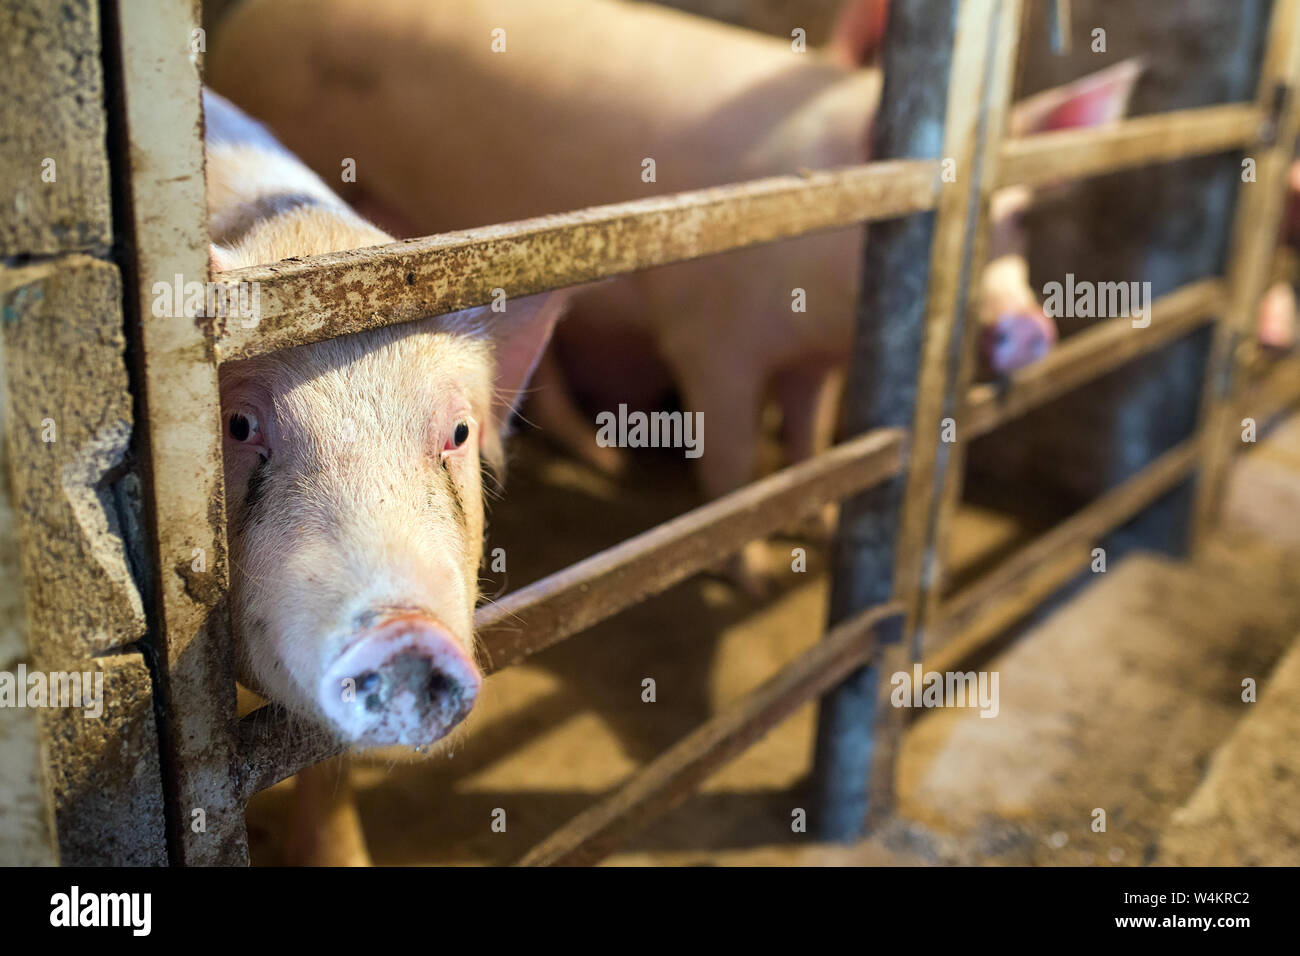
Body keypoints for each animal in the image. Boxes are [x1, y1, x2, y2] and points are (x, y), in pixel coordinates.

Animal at [207, 0, 1136, 585]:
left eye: (1019, 215)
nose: (1031, 328)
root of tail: (248, 19)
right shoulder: (714, 341)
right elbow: (731, 456)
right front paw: (750, 576)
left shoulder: (818, 359)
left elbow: (811, 435)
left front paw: (822, 526)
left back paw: (606, 460)